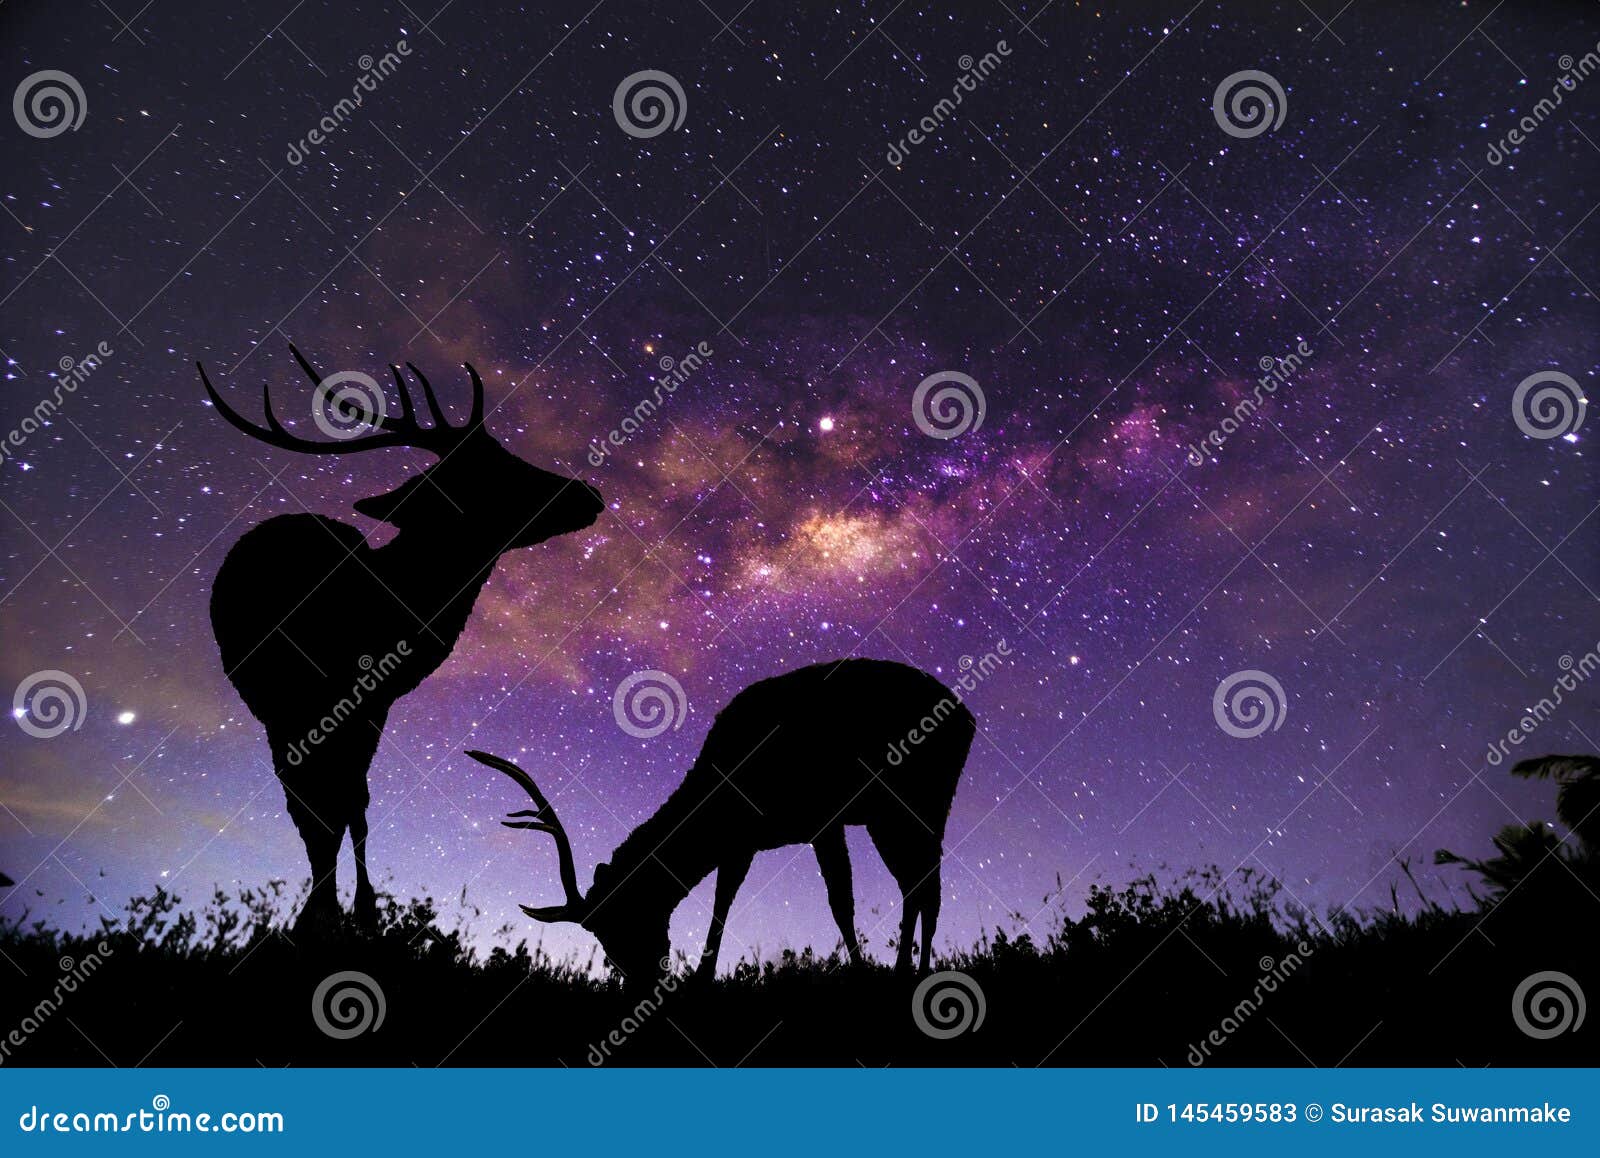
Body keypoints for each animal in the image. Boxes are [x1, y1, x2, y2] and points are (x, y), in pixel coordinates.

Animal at [198, 346, 603, 932]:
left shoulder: (375, 706)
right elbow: (318, 813)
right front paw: (320, 917)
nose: (588, 493)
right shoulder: (300, 711)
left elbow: (352, 806)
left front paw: (357, 912)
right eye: (492, 474)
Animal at [468, 658, 974, 984]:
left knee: (926, 884)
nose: (642, 981)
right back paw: (914, 966)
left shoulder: (821, 819)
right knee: (919, 882)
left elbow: (840, 902)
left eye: (623, 920)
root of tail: (968, 718)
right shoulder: (744, 841)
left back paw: (912, 969)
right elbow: (723, 900)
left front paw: (861, 969)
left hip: (921, 799)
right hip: (891, 815)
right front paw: (704, 974)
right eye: (604, 938)